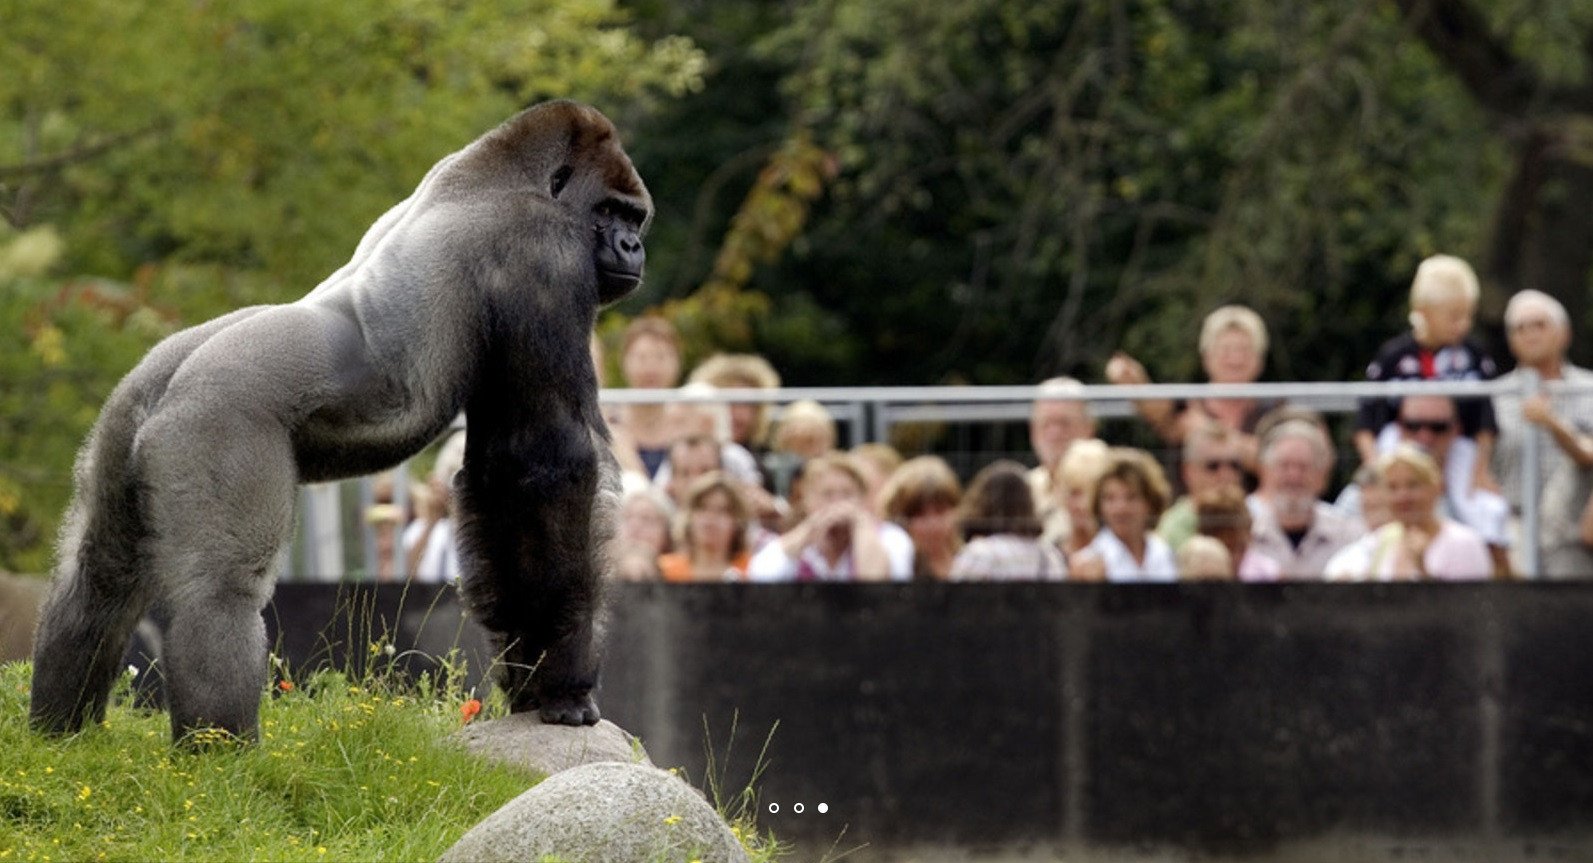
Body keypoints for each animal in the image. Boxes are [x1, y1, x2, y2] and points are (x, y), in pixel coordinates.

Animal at [29, 100, 650, 742]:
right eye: (609, 212)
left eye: (636, 218)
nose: (632, 246)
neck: (501, 173)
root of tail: (166, 384)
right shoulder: (543, 253)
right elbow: (547, 463)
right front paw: (564, 685)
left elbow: (502, 471)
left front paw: (529, 677)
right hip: (211, 425)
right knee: (220, 591)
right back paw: (222, 753)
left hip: (120, 422)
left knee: (97, 578)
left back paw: (62, 734)